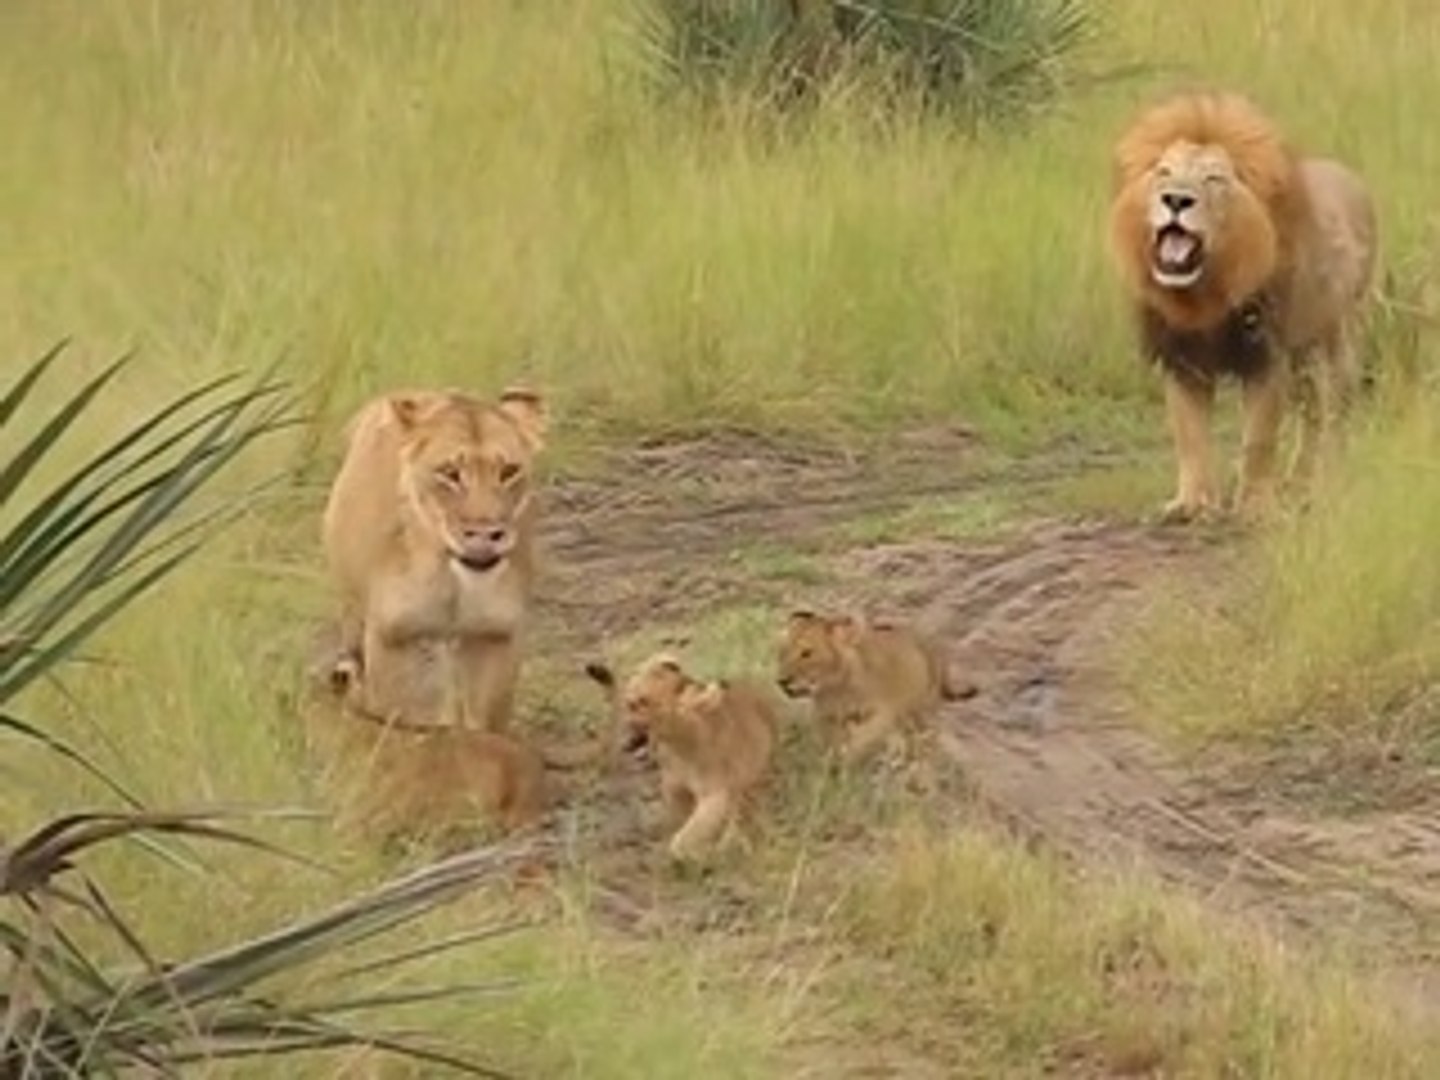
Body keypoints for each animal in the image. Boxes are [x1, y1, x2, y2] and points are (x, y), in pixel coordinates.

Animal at [321, 386, 546, 731]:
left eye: (508, 471)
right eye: (450, 474)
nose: (486, 534)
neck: (452, 579)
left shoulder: (496, 635)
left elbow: (481, 723)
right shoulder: (393, 638)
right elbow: (405, 716)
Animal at [584, 654, 778, 863]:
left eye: (644, 702)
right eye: (633, 704)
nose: (630, 724)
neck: (679, 749)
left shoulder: (716, 793)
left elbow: (686, 837)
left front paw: (700, 853)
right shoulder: (673, 788)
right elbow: (681, 820)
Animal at [775, 610, 972, 764]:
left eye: (807, 653)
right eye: (783, 651)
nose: (781, 681)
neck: (835, 690)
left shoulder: (883, 714)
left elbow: (860, 741)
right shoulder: (826, 718)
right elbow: (831, 742)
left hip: (921, 712)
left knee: (924, 738)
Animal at [1108, 91, 1377, 522]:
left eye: (1213, 179)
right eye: (1164, 173)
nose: (1176, 200)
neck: (1204, 292)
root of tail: (1352, 178)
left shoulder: (1265, 357)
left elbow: (1259, 438)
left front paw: (1253, 505)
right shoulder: (1182, 363)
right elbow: (1189, 436)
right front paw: (1192, 503)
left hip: (1336, 341)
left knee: (1332, 411)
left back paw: (1321, 482)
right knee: (1312, 413)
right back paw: (1297, 483)